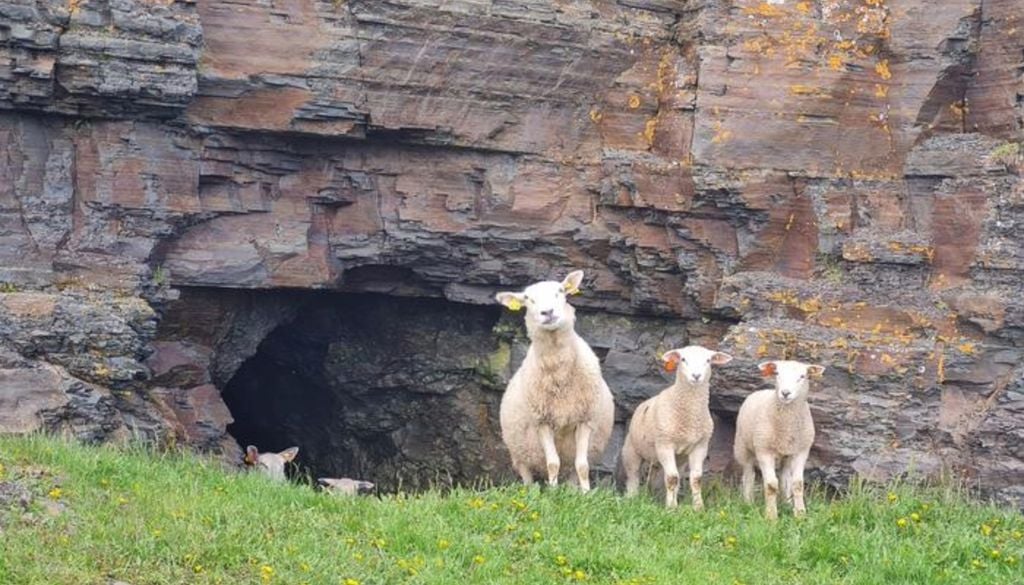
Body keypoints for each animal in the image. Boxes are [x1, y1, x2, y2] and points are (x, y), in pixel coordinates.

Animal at [495, 270, 614, 492]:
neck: (559, 375)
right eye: (527, 299)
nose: (548, 312)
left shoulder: (585, 419)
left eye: (560, 291)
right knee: (528, 473)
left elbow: (582, 465)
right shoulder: (542, 421)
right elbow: (552, 463)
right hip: (519, 452)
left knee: (572, 470)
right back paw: (532, 491)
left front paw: (586, 493)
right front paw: (552, 492)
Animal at [620, 345, 733, 510]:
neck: (689, 417)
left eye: (708, 360)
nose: (696, 376)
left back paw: (652, 497)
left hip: (673, 458)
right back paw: (632, 498)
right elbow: (672, 478)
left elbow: (696, 479)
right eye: (683, 359)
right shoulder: (665, 445)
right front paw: (671, 508)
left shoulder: (700, 447)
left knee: (659, 475)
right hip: (632, 450)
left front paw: (698, 508)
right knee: (633, 475)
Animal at [733, 360, 825, 520]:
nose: (785, 393)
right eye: (777, 373)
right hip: (743, 448)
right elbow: (770, 485)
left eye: (802, 376)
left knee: (784, 477)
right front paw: (771, 516)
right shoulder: (764, 451)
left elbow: (797, 484)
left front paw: (800, 514)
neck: (786, 426)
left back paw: (786, 503)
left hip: (786, 456)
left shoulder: (801, 451)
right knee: (749, 475)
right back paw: (748, 503)